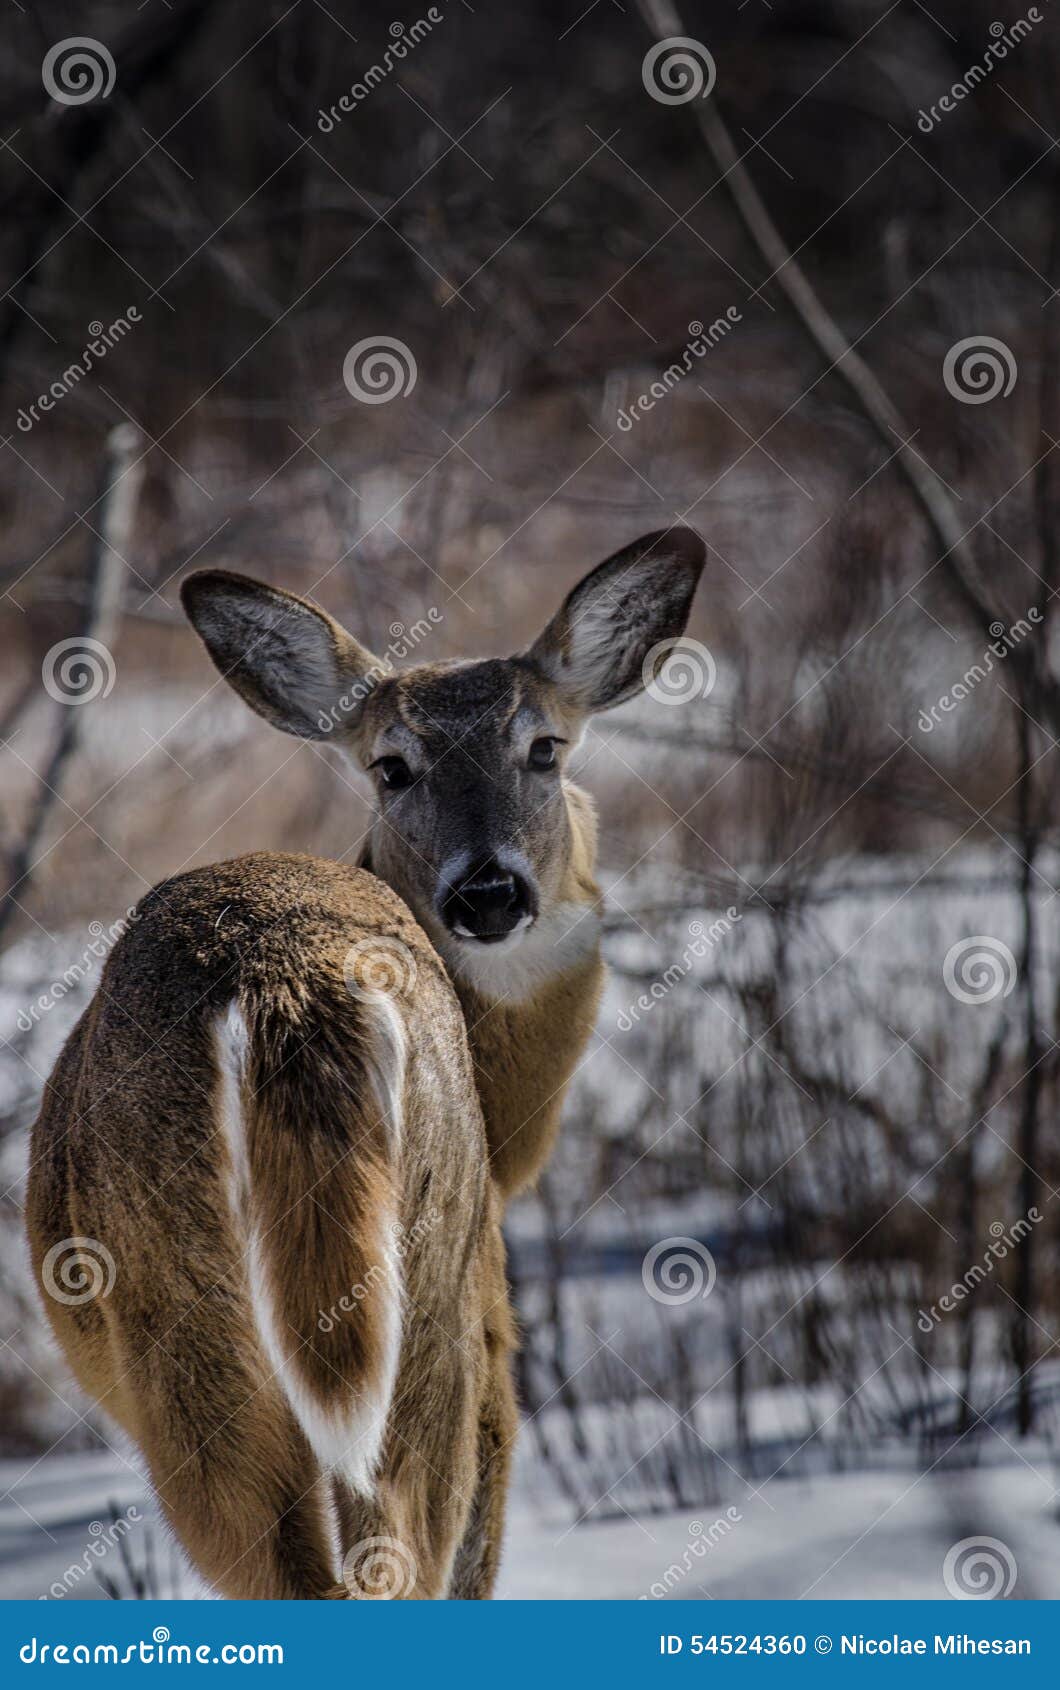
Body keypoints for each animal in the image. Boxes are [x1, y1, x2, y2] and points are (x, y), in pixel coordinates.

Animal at [26, 526, 705, 1600]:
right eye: (393, 766)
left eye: (543, 747)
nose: (488, 891)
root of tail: (284, 984)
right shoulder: (492, 1302)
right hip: (420, 1285)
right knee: (397, 1543)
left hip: (196, 1323)